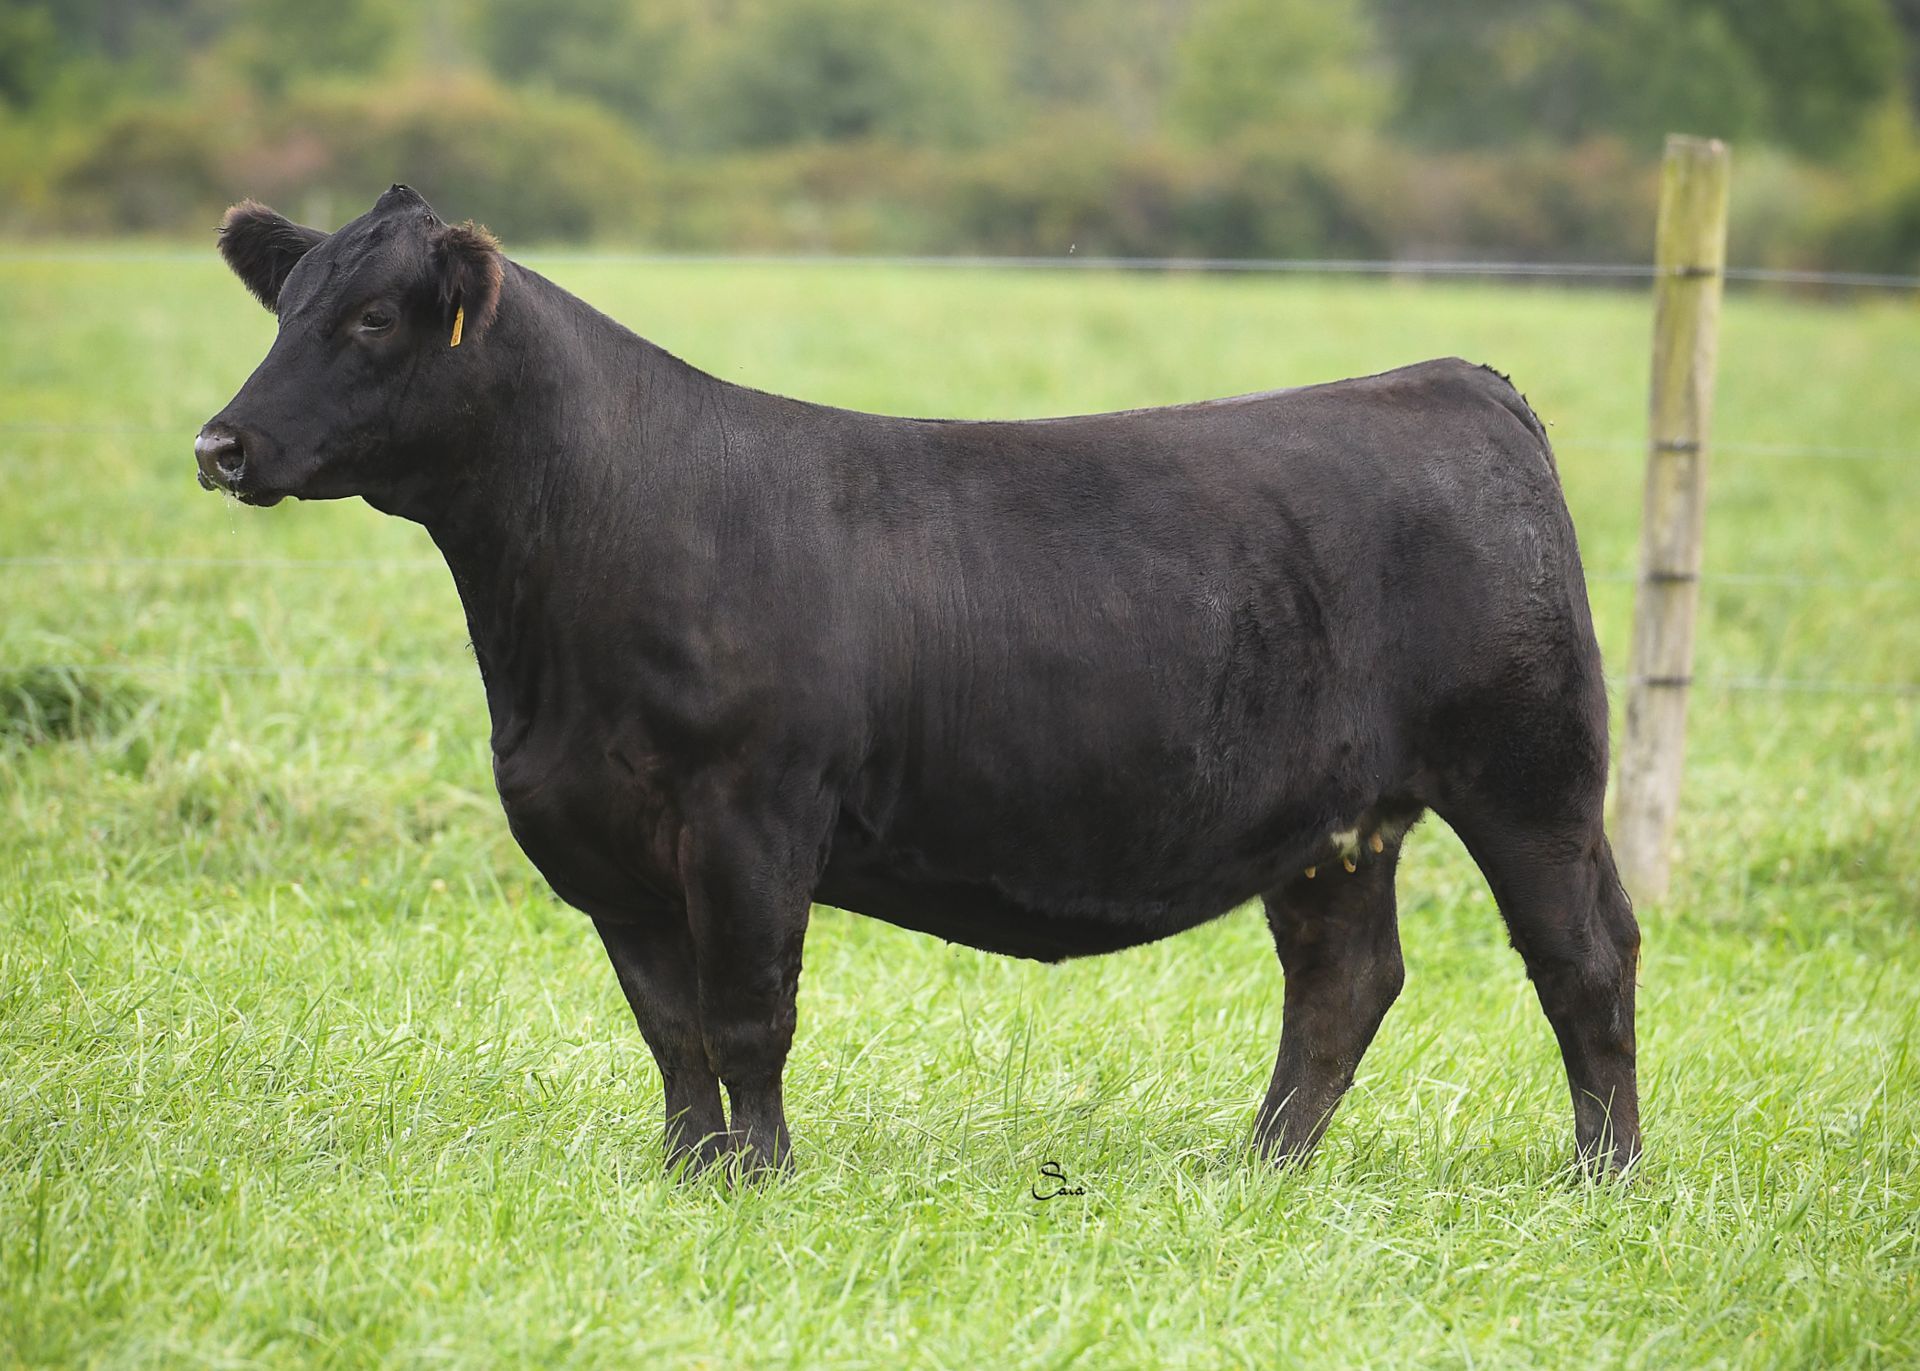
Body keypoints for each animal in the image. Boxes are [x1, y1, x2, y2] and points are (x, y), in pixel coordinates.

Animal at [195, 185, 1641, 1179]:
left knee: (1584, 954)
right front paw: (687, 1175)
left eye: (372, 317)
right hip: (1336, 816)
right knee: (1344, 979)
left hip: (1534, 772)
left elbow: (746, 1016)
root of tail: (1454, 378)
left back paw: (1603, 1175)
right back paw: (1259, 1169)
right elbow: (668, 1027)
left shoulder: (753, 814)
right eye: (284, 307)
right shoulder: (598, 837)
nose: (223, 443)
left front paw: (761, 1180)